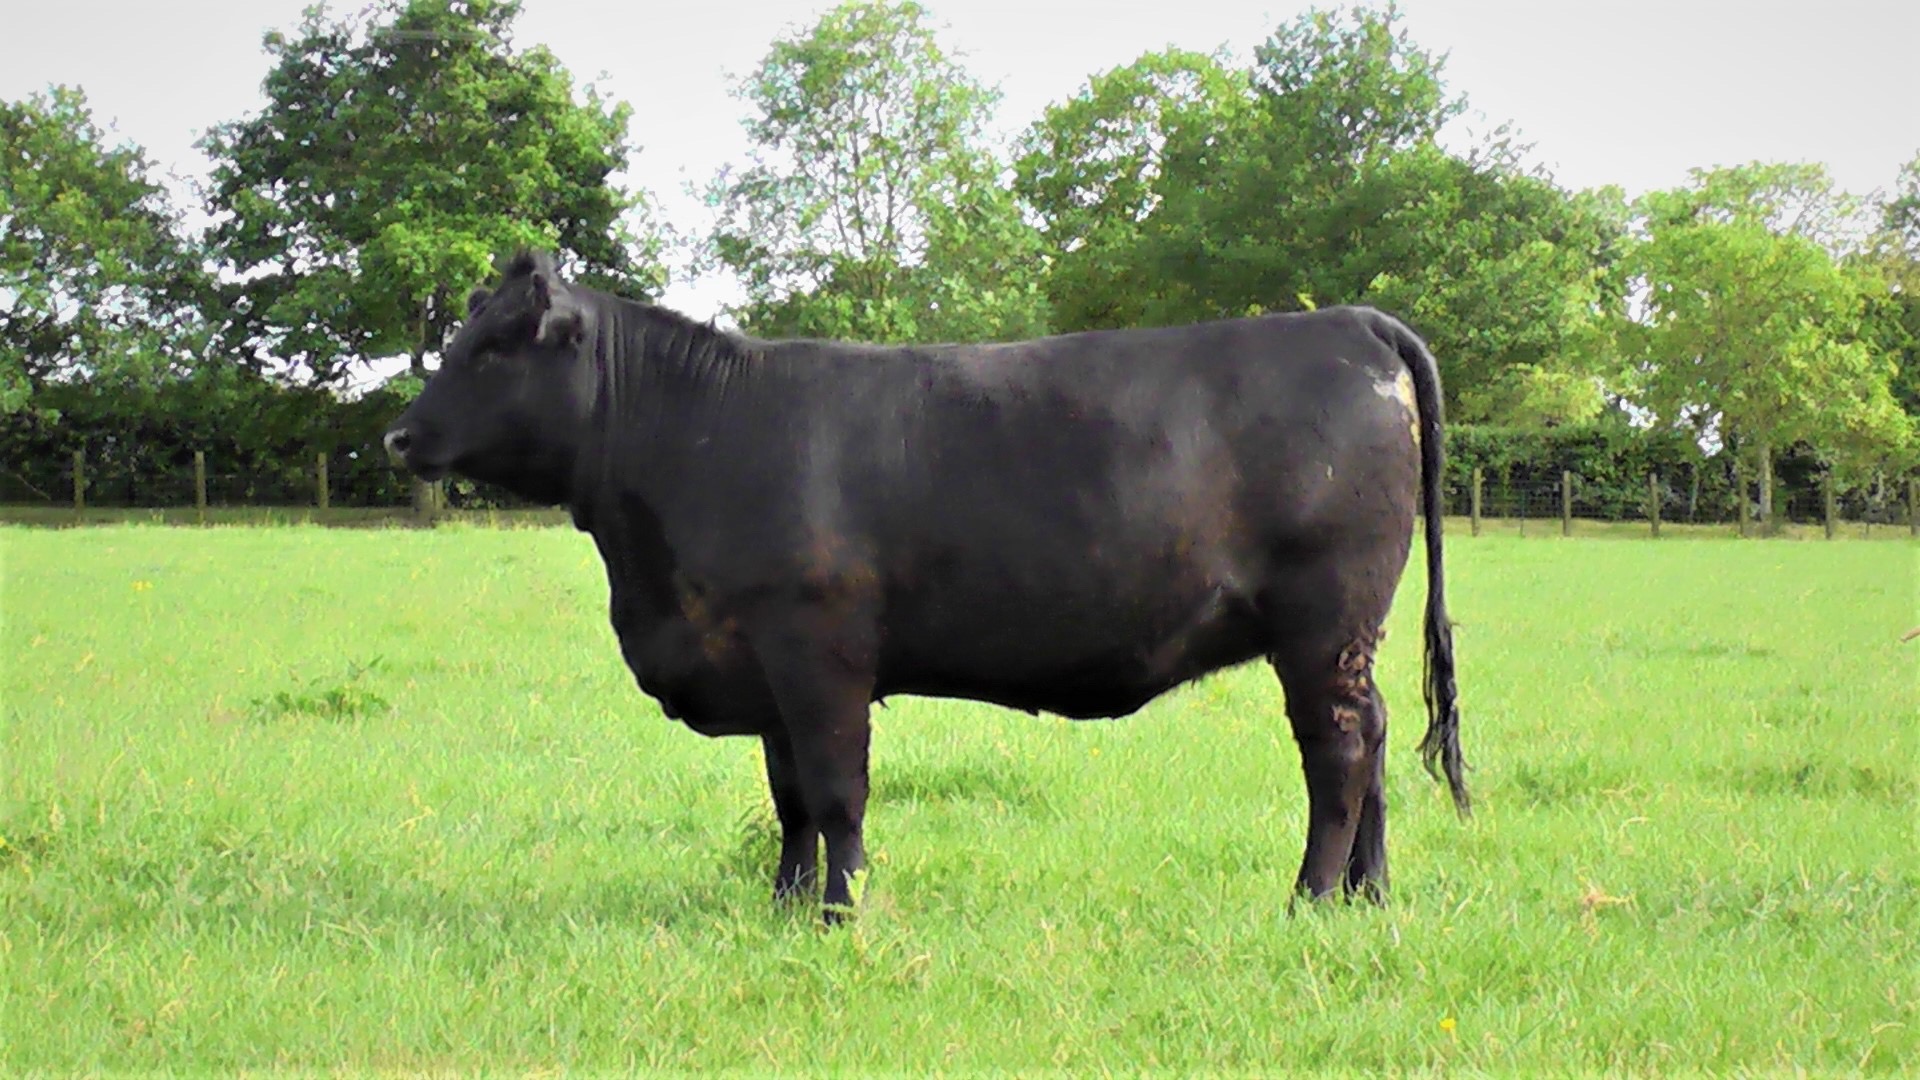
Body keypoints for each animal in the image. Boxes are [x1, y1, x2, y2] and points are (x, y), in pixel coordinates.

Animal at [383, 250, 1468, 924]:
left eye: (493, 347)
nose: (398, 434)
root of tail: (1353, 322)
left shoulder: (818, 652)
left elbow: (836, 791)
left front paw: (841, 912)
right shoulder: (762, 667)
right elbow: (788, 799)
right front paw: (783, 907)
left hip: (1322, 623)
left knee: (1337, 752)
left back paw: (1311, 898)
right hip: (1344, 637)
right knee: (1373, 738)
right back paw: (1368, 895)